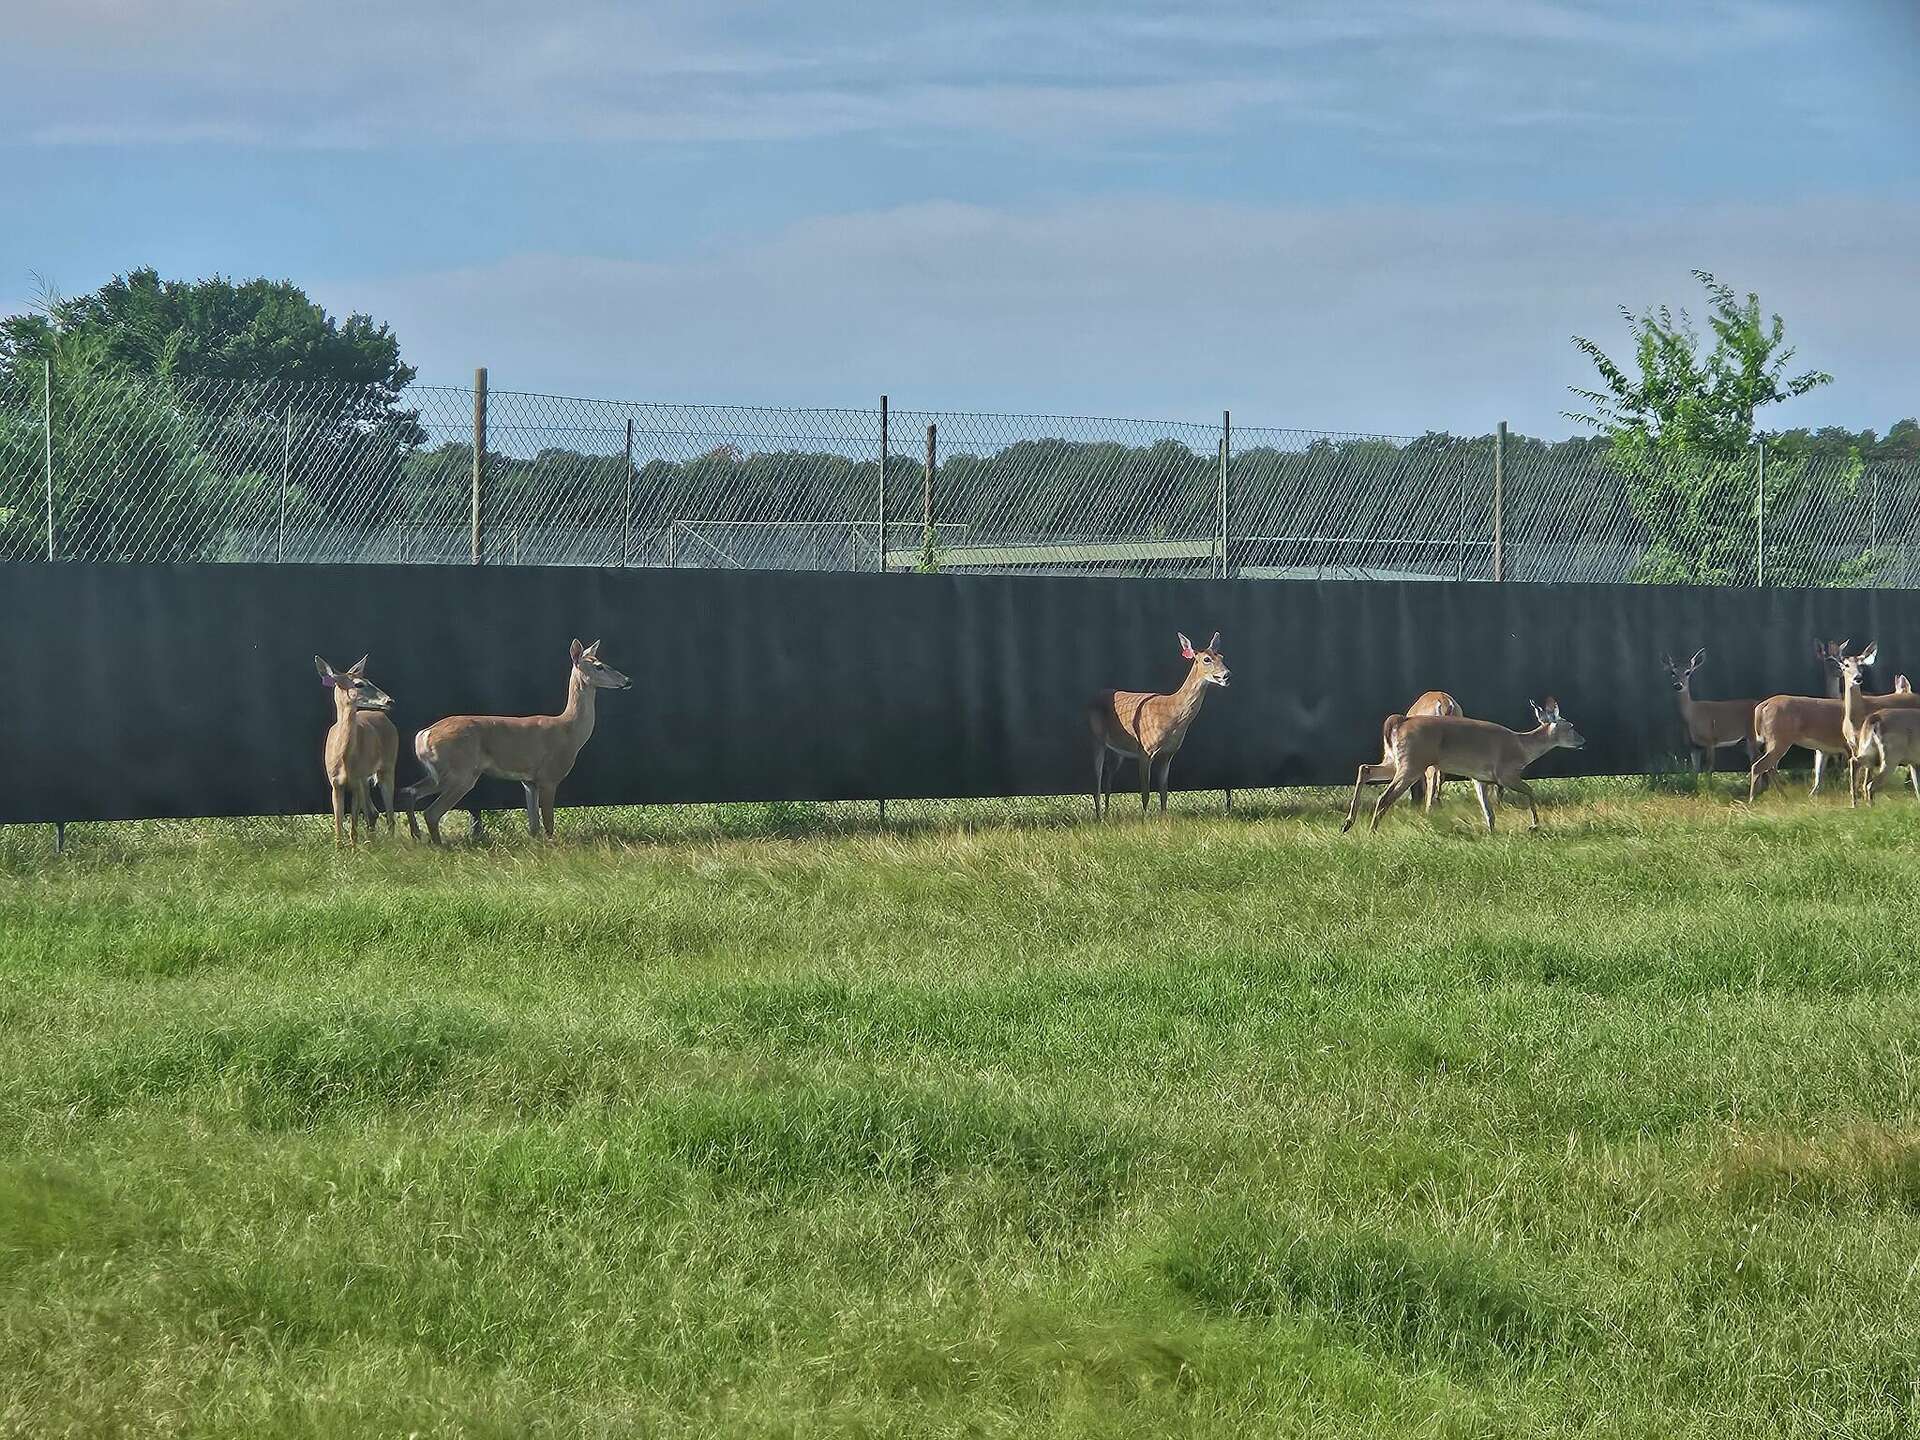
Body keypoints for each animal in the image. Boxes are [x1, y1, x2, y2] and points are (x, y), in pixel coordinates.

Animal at [314, 655, 399, 848]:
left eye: (370, 680)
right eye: (359, 684)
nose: (389, 701)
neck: (343, 758)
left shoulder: (355, 782)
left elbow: (353, 827)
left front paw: (354, 850)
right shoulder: (335, 784)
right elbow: (338, 824)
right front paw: (338, 851)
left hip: (387, 766)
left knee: (389, 814)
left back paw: (390, 844)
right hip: (366, 778)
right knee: (373, 812)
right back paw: (372, 843)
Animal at [403, 639, 631, 844]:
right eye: (599, 666)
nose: (628, 680)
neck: (569, 731)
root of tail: (423, 735)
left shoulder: (529, 781)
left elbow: (534, 826)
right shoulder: (549, 776)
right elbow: (548, 823)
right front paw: (553, 848)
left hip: (441, 773)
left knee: (410, 792)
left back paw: (417, 835)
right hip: (461, 771)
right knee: (432, 812)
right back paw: (439, 845)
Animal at [1088, 632, 1230, 817]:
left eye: (1221, 657)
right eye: (1207, 659)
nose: (1227, 674)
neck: (1171, 715)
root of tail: (1094, 697)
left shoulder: (1168, 754)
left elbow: (1163, 792)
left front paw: (1163, 819)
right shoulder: (1145, 750)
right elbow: (1146, 792)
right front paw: (1144, 819)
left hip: (1118, 750)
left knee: (1108, 779)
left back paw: (1106, 814)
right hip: (1096, 738)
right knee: (1096, 780)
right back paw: (1099, 817)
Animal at [1661, 650, 1756, 779]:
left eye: (1688, 672)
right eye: (1672, 672)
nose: (1678, 685)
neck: (1692, 715)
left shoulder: (1710, 740)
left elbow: (1709, 770)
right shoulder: (1693, 746)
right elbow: (1695, 772)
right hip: (1747, 740)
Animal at [1747, 641, 1920, 803]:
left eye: (1862, 666)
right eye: (1845, 665)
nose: (1858, 677)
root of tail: (1761, 707)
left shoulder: (1831, 748)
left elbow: (1821, 775)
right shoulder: (1848, 746)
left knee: (1767, 766)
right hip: (1779, 739)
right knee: (1761, 765)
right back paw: (1756, 799)